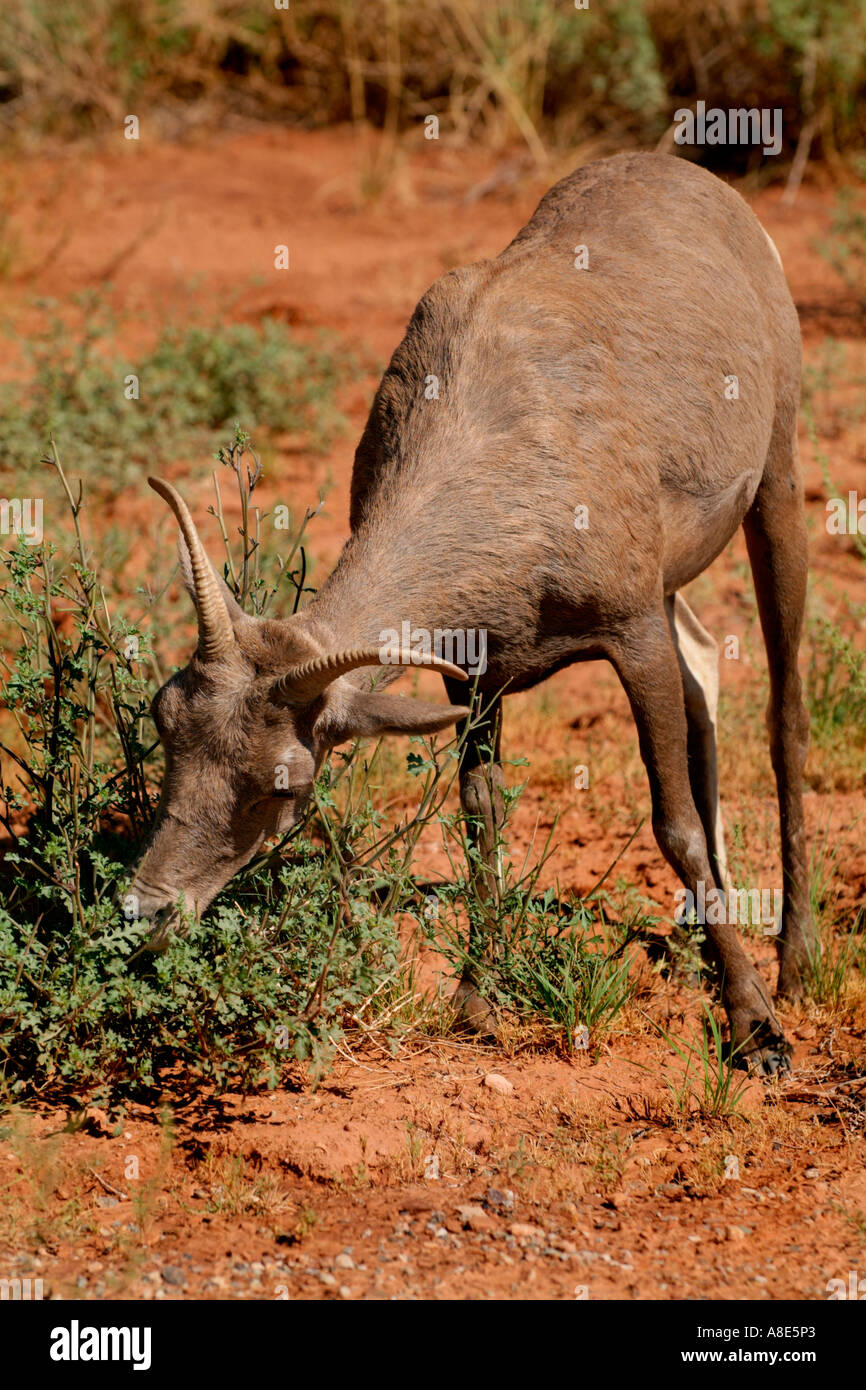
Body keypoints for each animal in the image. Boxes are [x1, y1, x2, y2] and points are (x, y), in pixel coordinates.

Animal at [131, 151, 812, 1074]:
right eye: (163, 718)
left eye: (285, 782)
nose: (146, 913)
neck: (503, 441)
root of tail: (699, 182)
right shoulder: (475, 675)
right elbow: (481, 812)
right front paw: (476, 1003)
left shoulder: (630, 635)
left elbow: (673, 824)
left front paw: (755, 1029)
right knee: (706, 663)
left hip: (775, 484)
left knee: (784, 715)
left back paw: (795, 964)